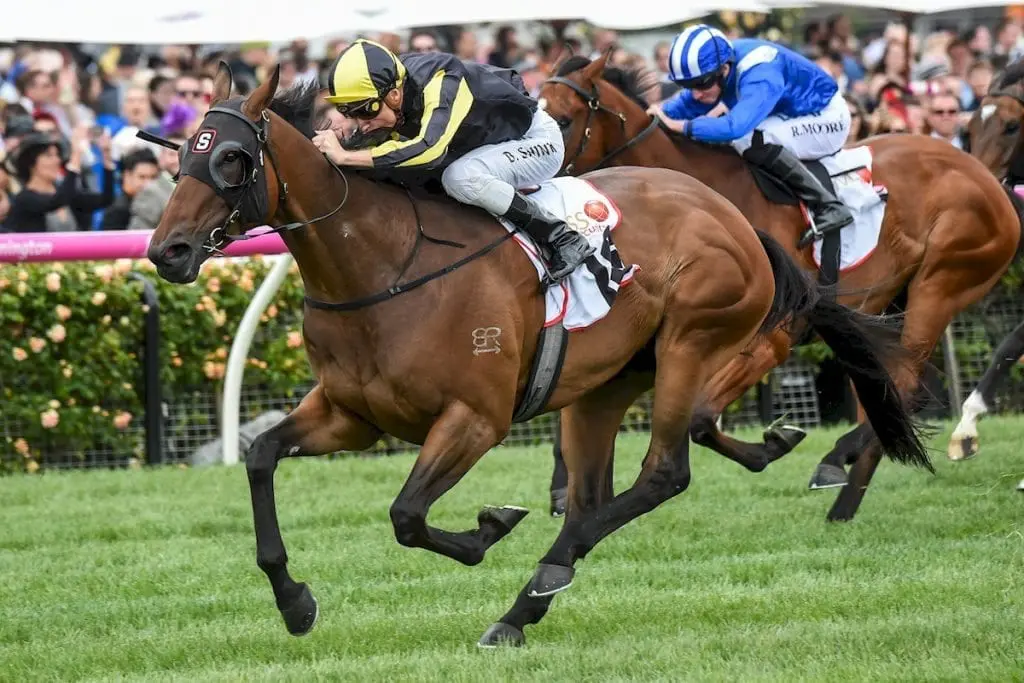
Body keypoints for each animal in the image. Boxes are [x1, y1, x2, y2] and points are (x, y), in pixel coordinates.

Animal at [145, 62, 929, 647]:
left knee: (662, 473)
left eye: (232, 158)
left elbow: (407, 515)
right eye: (180, 156)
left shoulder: (477, 417)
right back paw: (533, 598)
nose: (167, 251)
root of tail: (731, 216)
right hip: (605, 385)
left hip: (690, 342)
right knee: (594, 494)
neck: (382, 262)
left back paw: (537, 583)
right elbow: (260, 457)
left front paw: (490, 526)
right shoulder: (349, 414)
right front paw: (295, 601)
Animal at [538, 51, 1022, 519]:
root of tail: (983, 174)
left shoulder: (770, 339)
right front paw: (562, 490)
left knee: (904, 381)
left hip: (940, 284)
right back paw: (846, 485)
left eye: (563, 119)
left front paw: (773, 445)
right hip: (890, 303)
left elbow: (701, 420)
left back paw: (844, 472)